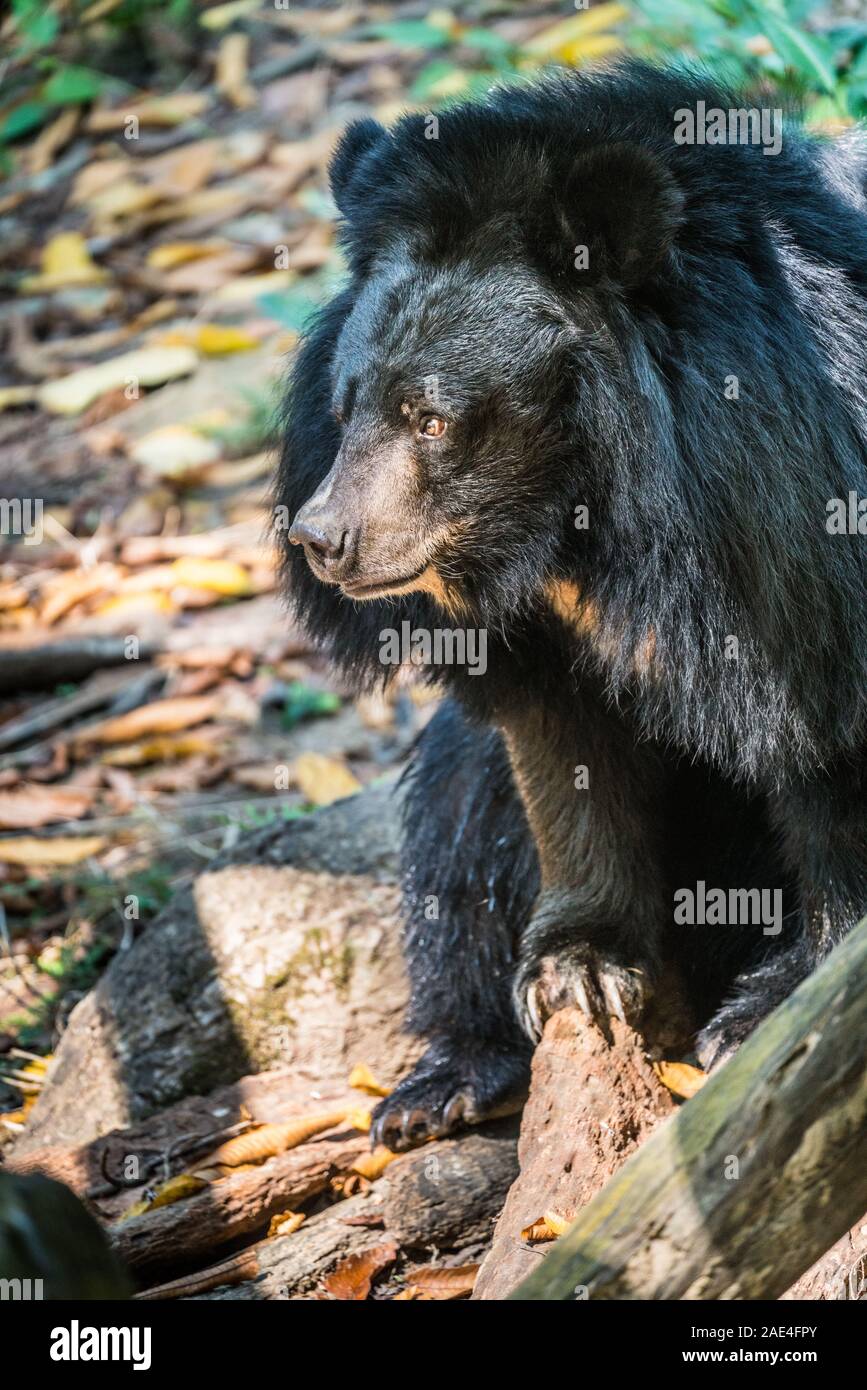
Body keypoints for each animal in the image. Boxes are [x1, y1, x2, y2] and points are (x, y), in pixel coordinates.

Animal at [275, 60, 867, 1151]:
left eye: (432, 418)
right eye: (344, 407)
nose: (323, 541)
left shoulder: (799, 550)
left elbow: (825, 761)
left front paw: (780, 1006)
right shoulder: (539, 629)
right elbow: (557, 754)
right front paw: (576, 970)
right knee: (456, 828)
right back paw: (446, 1083)